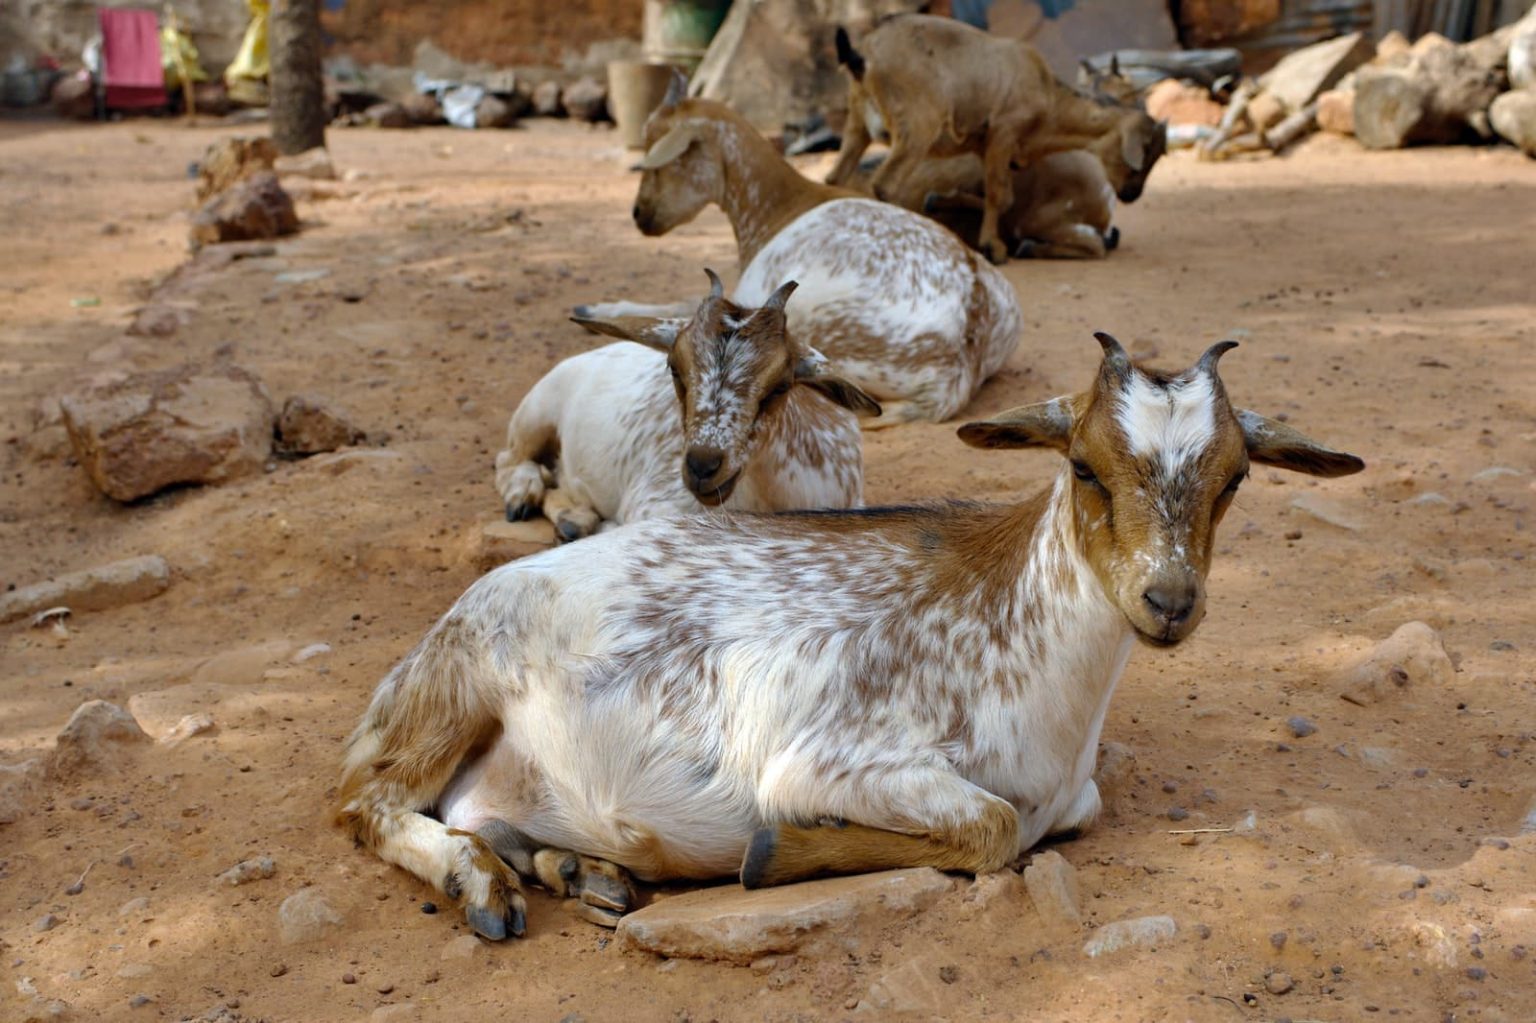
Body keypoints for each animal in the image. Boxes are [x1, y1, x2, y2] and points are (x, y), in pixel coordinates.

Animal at [337, 332, 1364, 939]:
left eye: (1235, 476)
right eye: (1084, 465)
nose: (1169, 599)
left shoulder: (1075, 796)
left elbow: (1044, 819)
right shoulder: (828, 759)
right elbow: (993, 828)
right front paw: (773, 855)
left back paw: (577, 868)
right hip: (450, 689)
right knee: (364, 802)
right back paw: (482, 886)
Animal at [495, 271, 878, 539]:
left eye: (781, 385)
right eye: (674, 367)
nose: (702, 467)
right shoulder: (652, 502)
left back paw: (573, 520)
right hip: (536, 412)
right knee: (508, 459)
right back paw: (524, 497)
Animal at [827, 14, 1166, 264]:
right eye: (1144, 149)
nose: (1131, 194)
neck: (1049, 97)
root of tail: (863, 55)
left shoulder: (986, 147)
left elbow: (1002, 199)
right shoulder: (1003, 134)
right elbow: (999, 196)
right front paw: (995, 248)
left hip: (857, 124)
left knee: (834, 178)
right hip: (916, 131)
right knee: (885, 185)